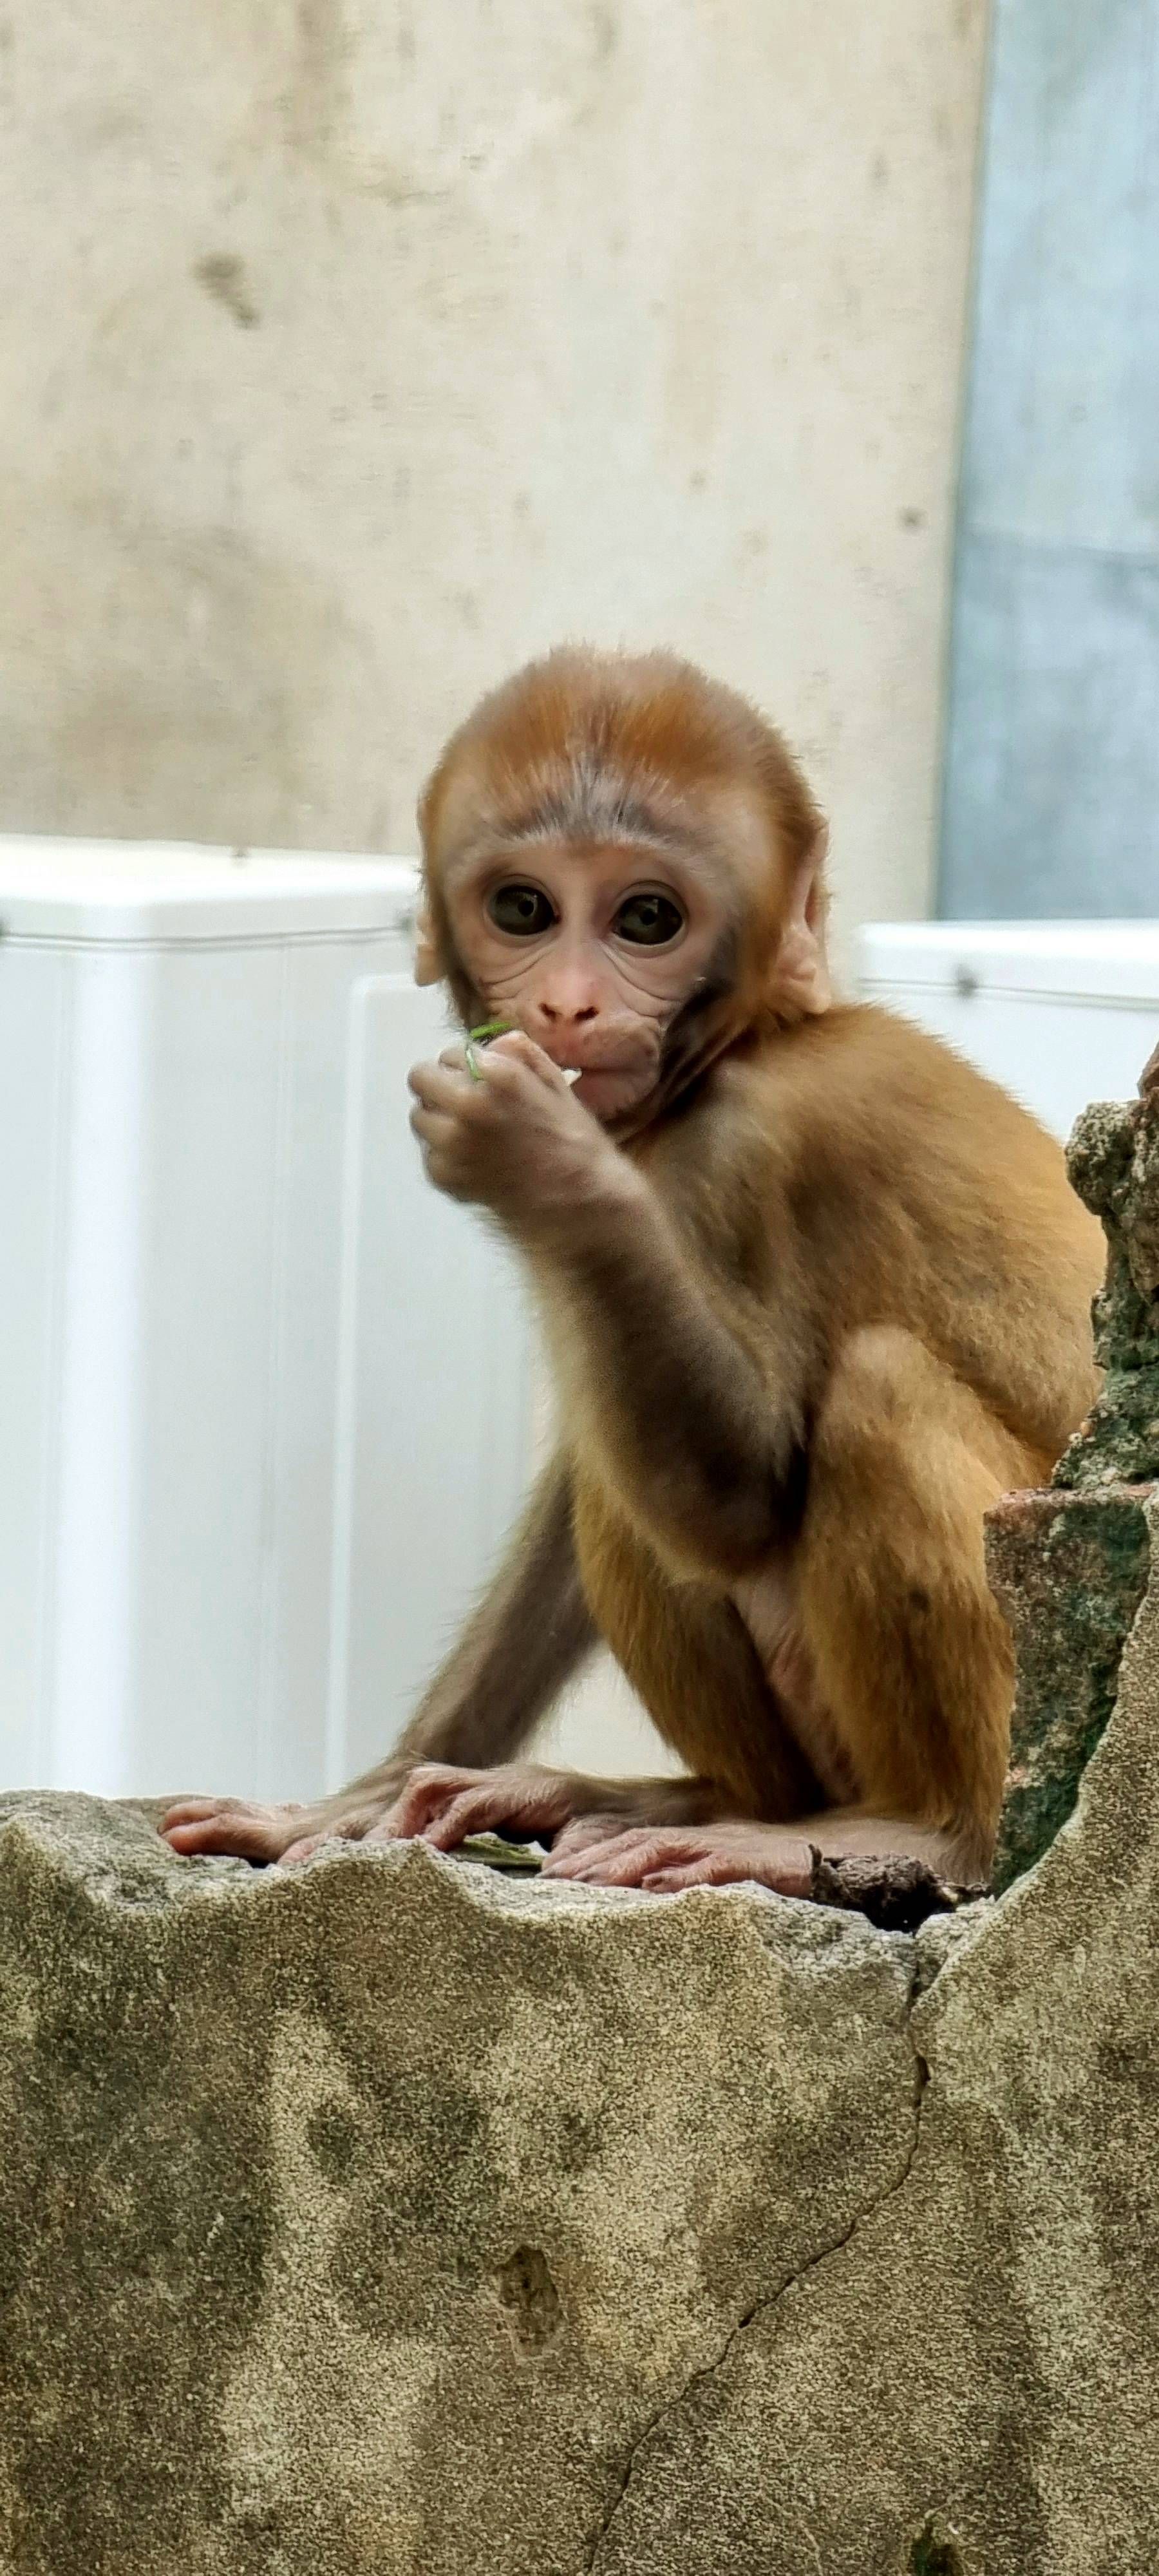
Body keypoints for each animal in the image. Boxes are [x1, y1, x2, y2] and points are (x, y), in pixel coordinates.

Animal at [162, 647, 1104, 1896]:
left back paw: (928, 1831)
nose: (568, 1004)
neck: (745, 1046)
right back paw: (671, 1799)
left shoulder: (742, 1150)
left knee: (876, 1393)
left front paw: (545, 1165)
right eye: (524, 909)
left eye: (647, 919)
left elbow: (739, 1495)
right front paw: (351, 1804)